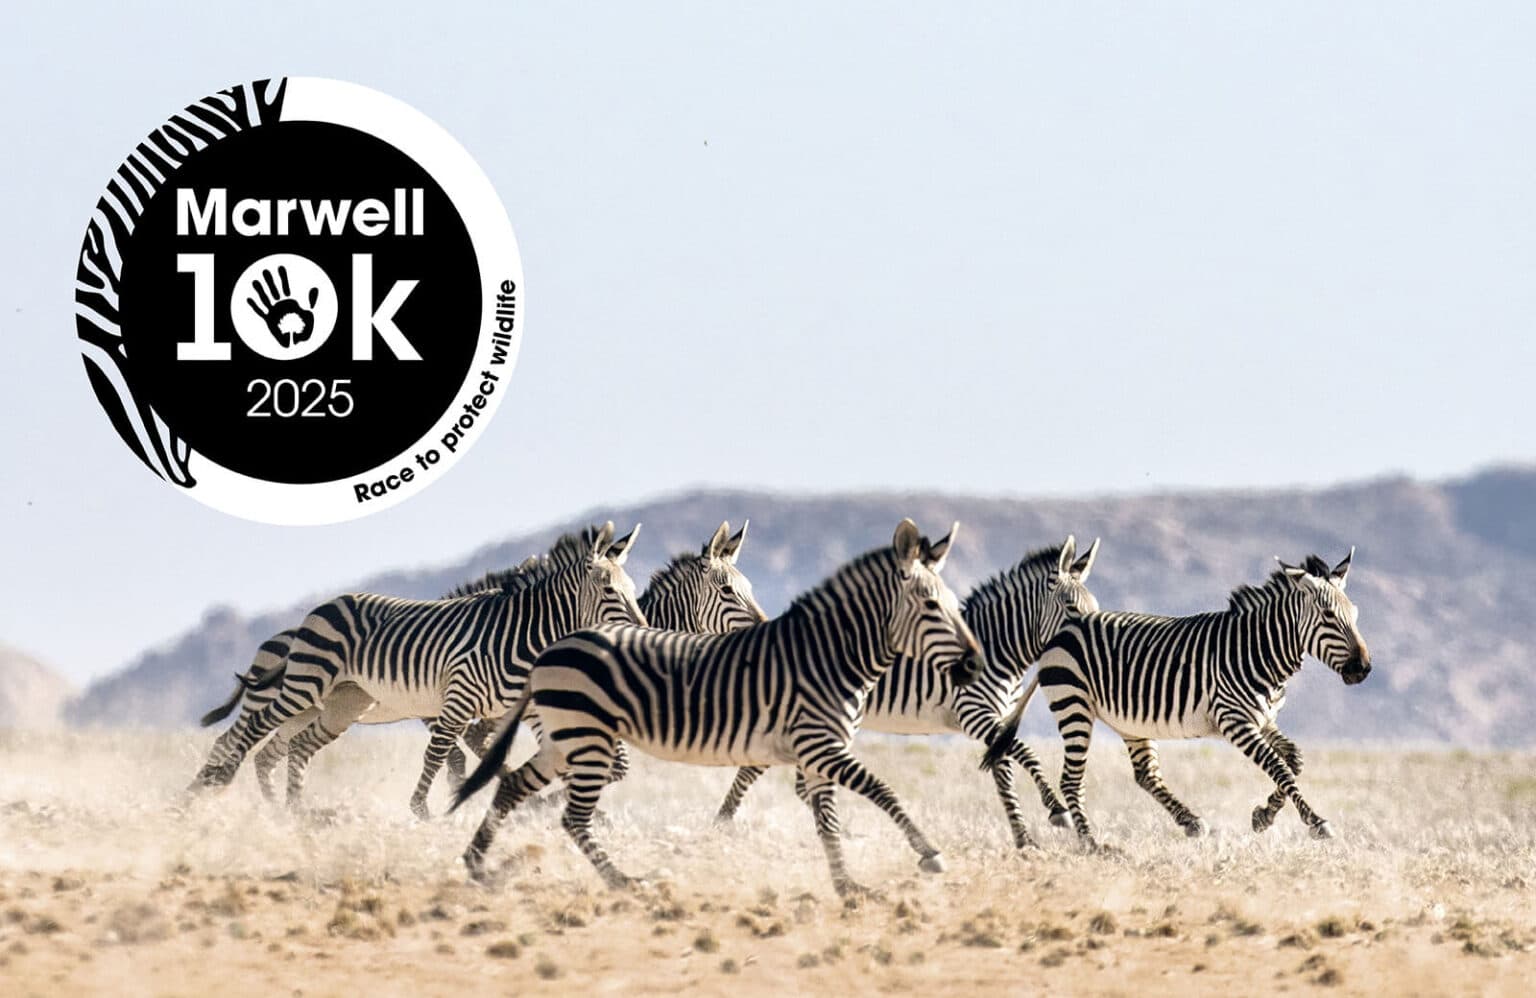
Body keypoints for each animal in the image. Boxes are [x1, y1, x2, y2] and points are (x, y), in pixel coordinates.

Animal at [199, 521, 767, 805]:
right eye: (727, 591)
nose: (764, 628)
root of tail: (282, 636)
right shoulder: (486, 711)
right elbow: (459, 759)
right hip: (299, 695)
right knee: (241, 739)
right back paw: (212, 793)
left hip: (333, 708)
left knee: (276, 751)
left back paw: (281, 809)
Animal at [452, 519, 988, 899]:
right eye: (931, 606)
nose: (974, 664)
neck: (829, 655)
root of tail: (553, 648)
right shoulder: (819, 746)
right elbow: (882, 789)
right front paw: (928, 854)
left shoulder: (815, 753)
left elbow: (827, 818)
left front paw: (847, 884)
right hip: (583, 737)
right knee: (563, 811)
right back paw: (621, 879)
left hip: (567, 738)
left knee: (510, 782)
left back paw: (480, 864)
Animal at [716, 535, 1101, 849]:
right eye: (1071, 608)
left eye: (1095, 609)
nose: (1092, 640)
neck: (999, 647)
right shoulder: (973, 713)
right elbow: (1025, 753)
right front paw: (1056, 810)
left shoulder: (998, 719)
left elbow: (1003, 772)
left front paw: (1024, 840)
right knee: (757, 769)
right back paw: (723, 821)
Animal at [981, 550, 1371, 847]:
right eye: (1329, 616)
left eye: (1355, 615)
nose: (1363, 669)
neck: (1258, 650)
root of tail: (1060, 632)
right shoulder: (1235, 720)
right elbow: (1278, 766)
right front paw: (1315, 820)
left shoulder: (1263, 719)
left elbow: (1294, 761)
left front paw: (1264, 815)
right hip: (1073, 705)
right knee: (1071, 780)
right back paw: (1092, 843)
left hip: (1129, 721)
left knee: (1145, 774)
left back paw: (1189, 821)